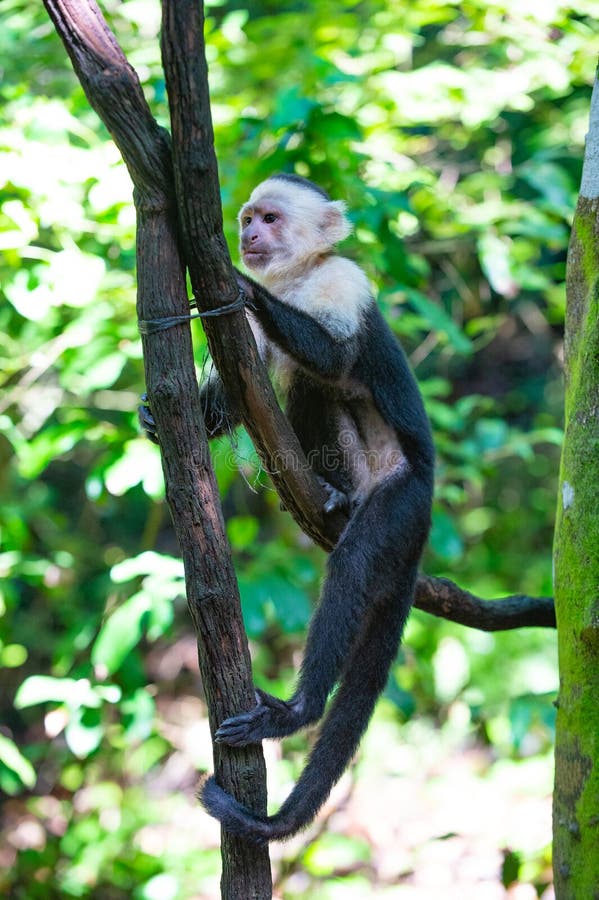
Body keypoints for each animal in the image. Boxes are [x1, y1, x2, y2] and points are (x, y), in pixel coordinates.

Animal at [140, 173, 434, 843]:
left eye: (269, 219)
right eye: (249, 217)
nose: (247, 234)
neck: (298, 277)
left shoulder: (344, 280)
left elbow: (331, 354)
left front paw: (236, 283)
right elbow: (238, 391)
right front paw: (156, 418)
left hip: (403, 496)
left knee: (353, 563)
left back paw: (300, 711)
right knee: (307, 387)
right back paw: (332, 495)